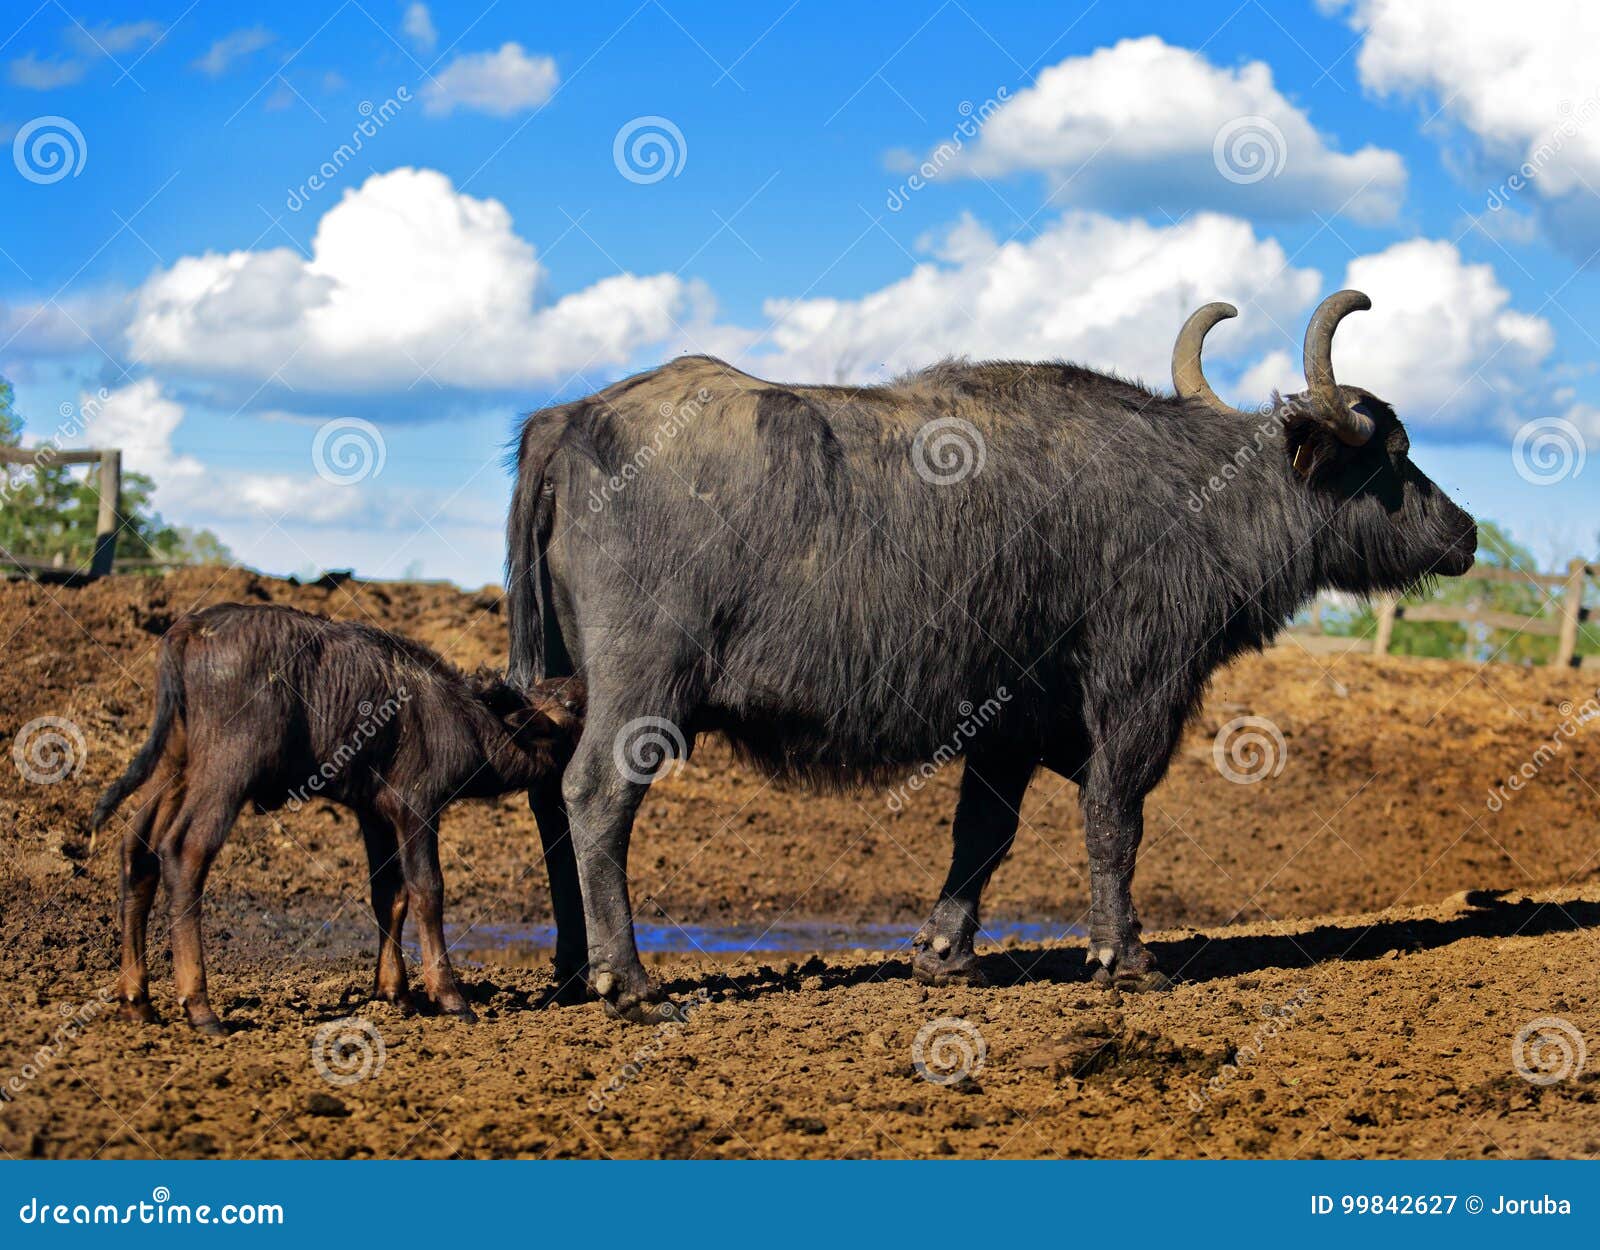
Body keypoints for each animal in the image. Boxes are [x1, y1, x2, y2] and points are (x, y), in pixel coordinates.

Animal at [91, 603, 585, 1034]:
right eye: (575, 706)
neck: (465, 719)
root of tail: (192, 628)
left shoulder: (375, 815)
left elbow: (389, 894)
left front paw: (395, 992)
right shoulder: (418, 808)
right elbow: (427, 890)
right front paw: (449, 997)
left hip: (173, 765)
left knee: (136, 849)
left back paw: (136, 999)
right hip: (226, 771)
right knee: (183, 853)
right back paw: (200, 1007)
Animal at [505, 290, 1476, 1023]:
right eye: (1395, 452)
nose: (1465, 531)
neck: (1197, 498)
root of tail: (572, 419)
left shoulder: (1006, 722)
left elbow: (984, 832)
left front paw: (945, 954)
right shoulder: (1137, 690)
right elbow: (1114, 822)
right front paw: (1125, 957)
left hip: (562, 682)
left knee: (549, 800)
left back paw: (572, 967)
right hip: (643, 686)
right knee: (595, 797)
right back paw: (630, 983)